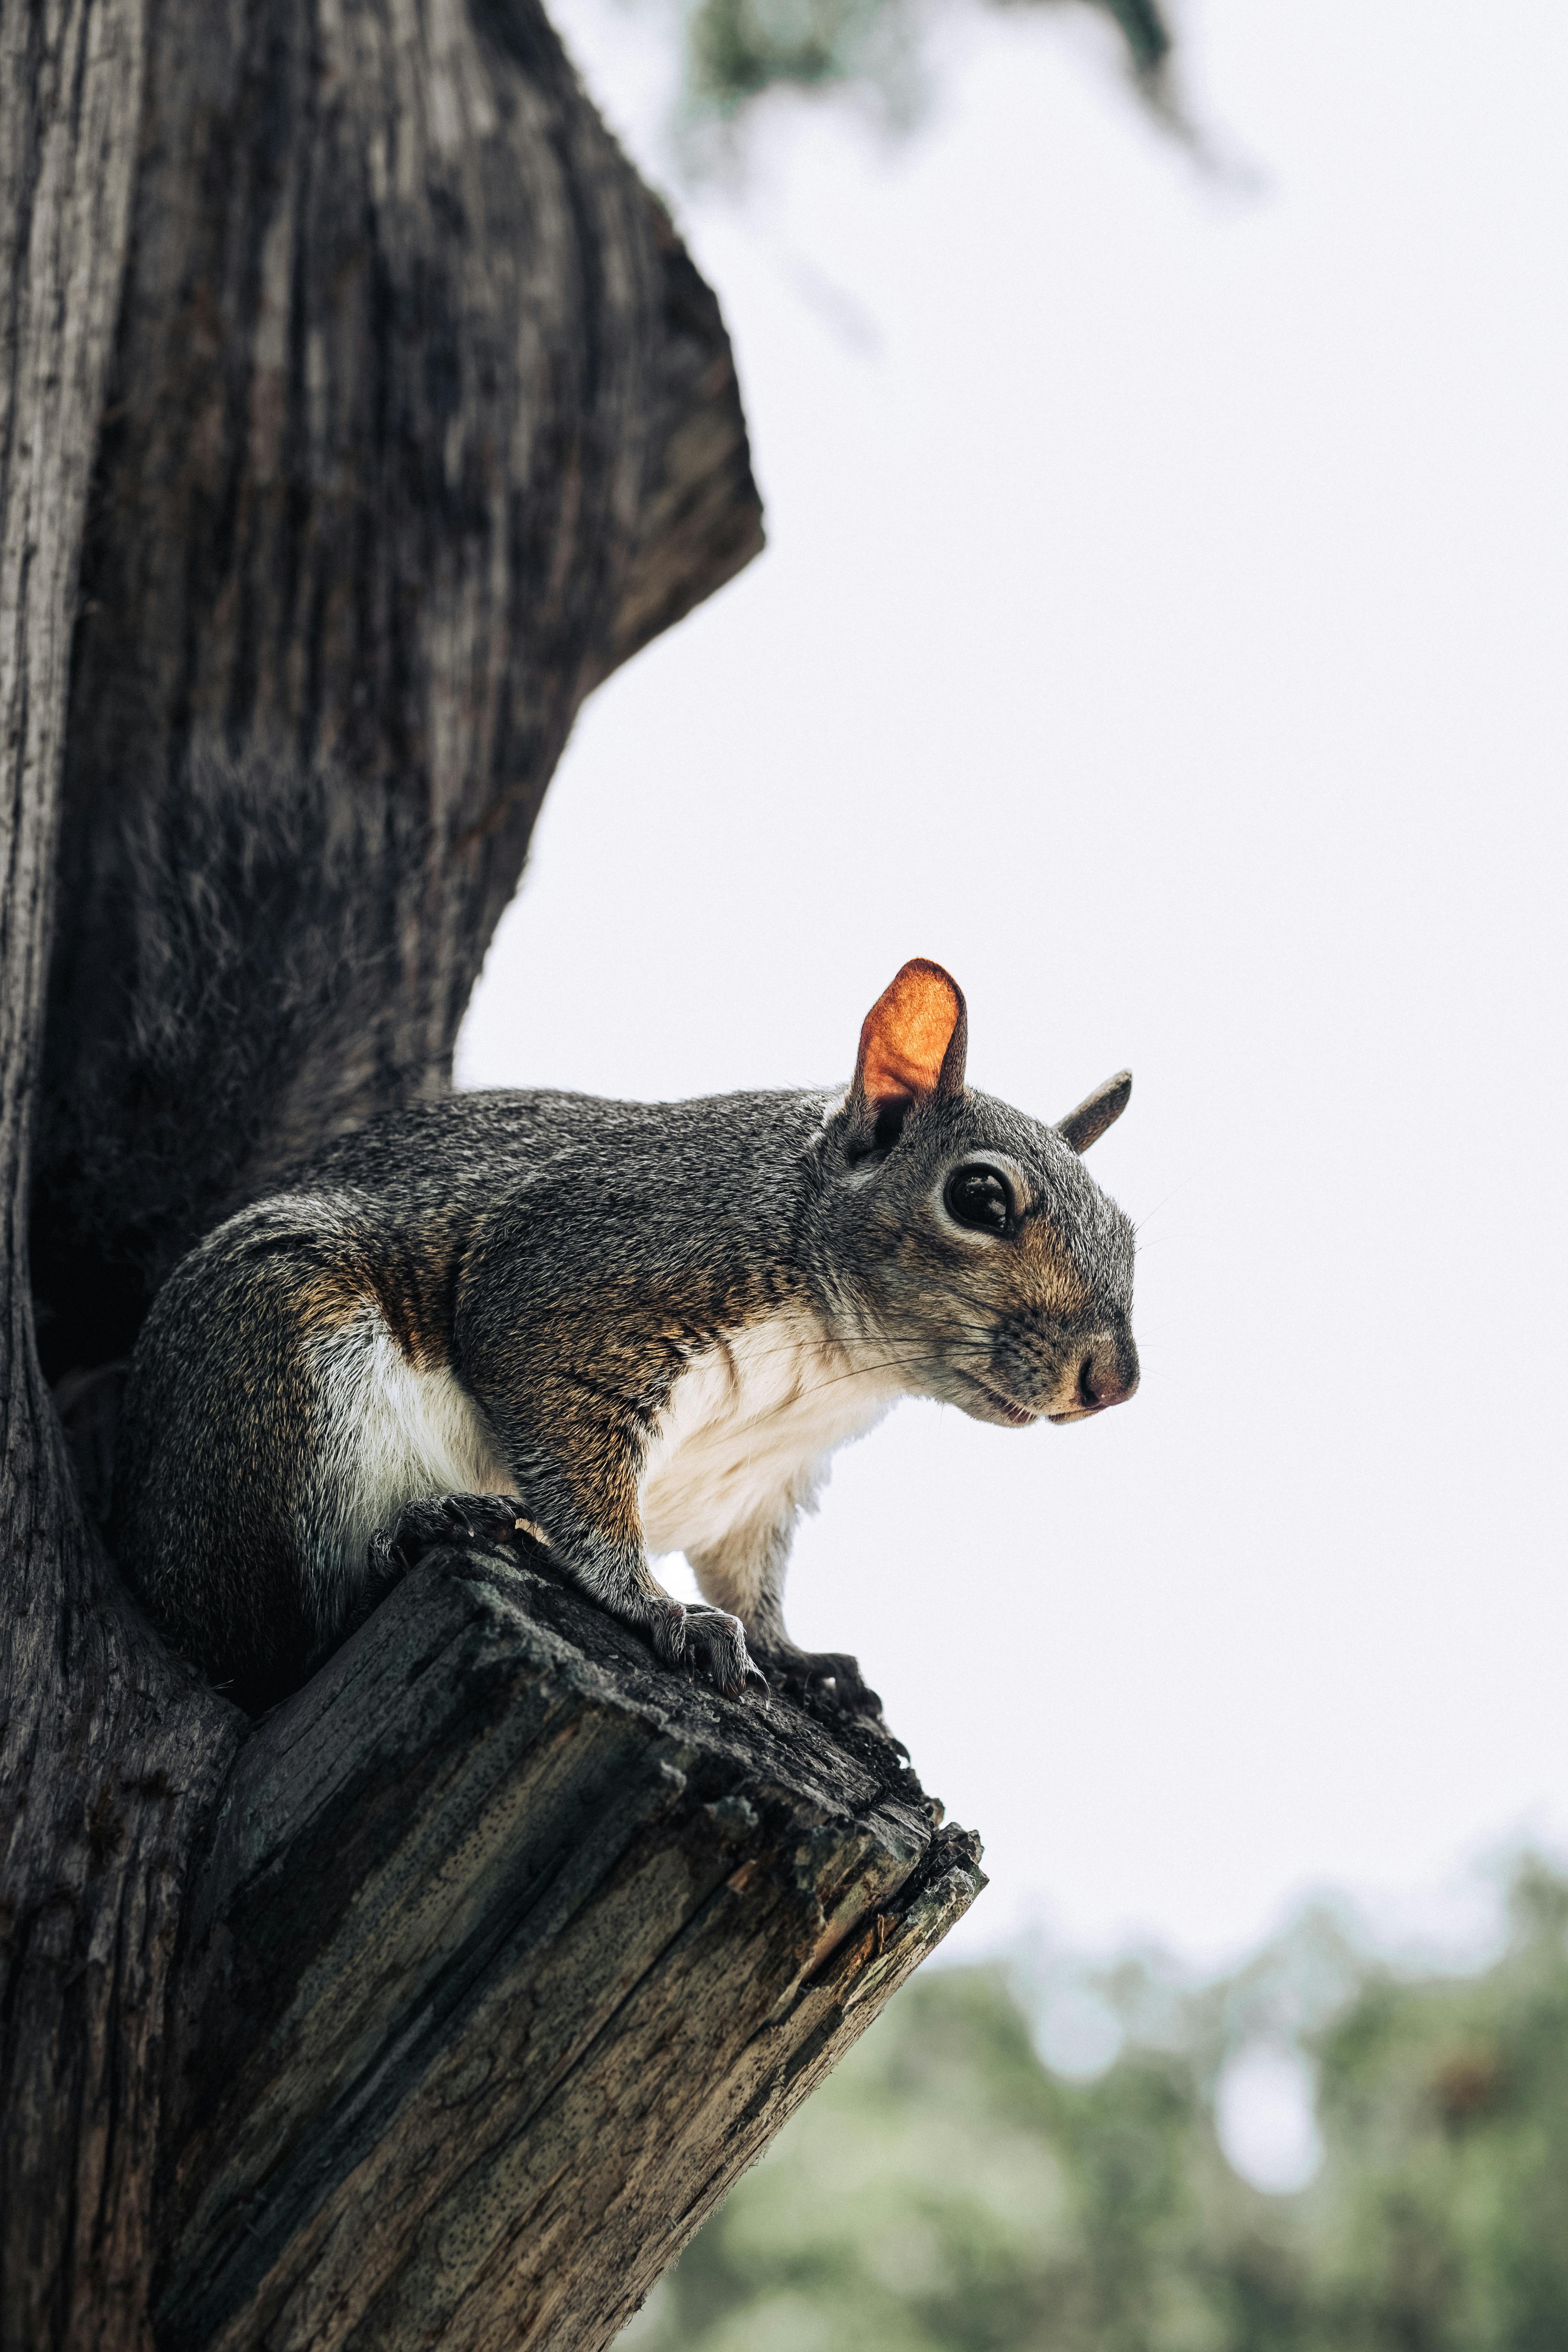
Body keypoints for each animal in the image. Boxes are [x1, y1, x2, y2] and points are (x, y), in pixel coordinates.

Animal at [115, 956, 1138, 1716]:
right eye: (980, 1198)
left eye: (1130, 1232)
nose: (1114, 1382)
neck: (835, 1359)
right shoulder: (579, 1288)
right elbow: (581, 1483)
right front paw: (656, 1609)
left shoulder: (762, 1482)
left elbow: (747, 1575)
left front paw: (795, 1656)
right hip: (283, 1349)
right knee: (279, 1638)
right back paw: (421, 1529)